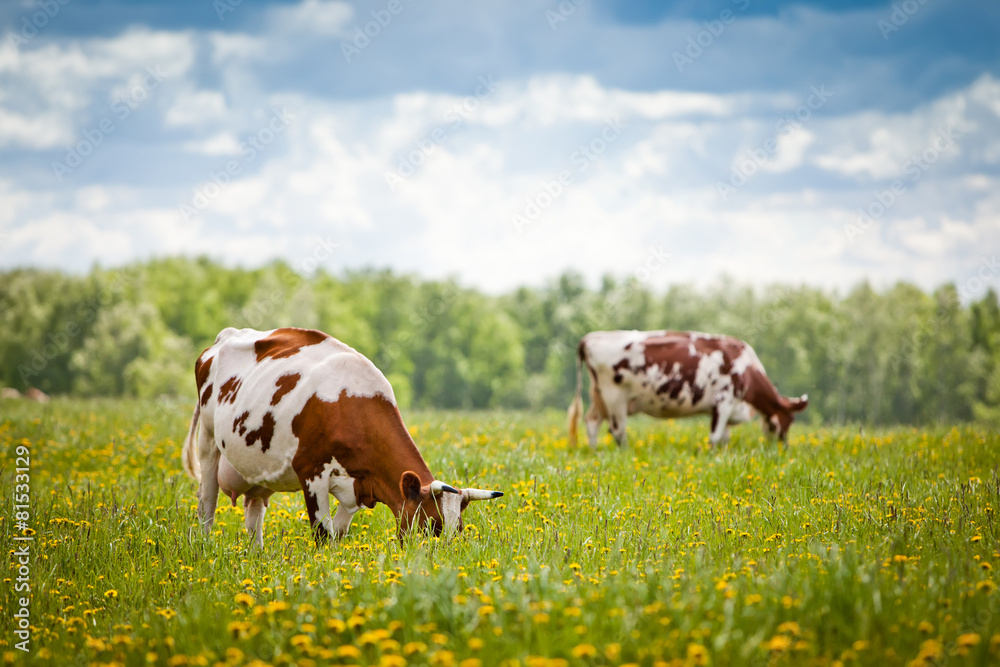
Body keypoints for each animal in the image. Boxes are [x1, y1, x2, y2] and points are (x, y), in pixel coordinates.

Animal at [182, 327, 502, 547]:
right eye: (430, 527)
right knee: (207, 503)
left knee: (254, 514)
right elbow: (323, 535)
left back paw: (256, 555)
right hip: (208, 442)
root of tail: (227, 335)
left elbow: (338, 534)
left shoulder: (357, 490)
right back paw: (205, 547)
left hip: (258, 468)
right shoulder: (311, 472)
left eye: (457, 530)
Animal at [567, 330, 808, 448]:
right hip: (614, 398)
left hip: (599, 397)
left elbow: (724, 437)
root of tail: (591, 337)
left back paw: (595, 452)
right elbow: (715, 436)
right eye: (787, 421)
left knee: (592, 421)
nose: (783, 448)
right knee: (617, 431)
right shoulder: (724, 400)